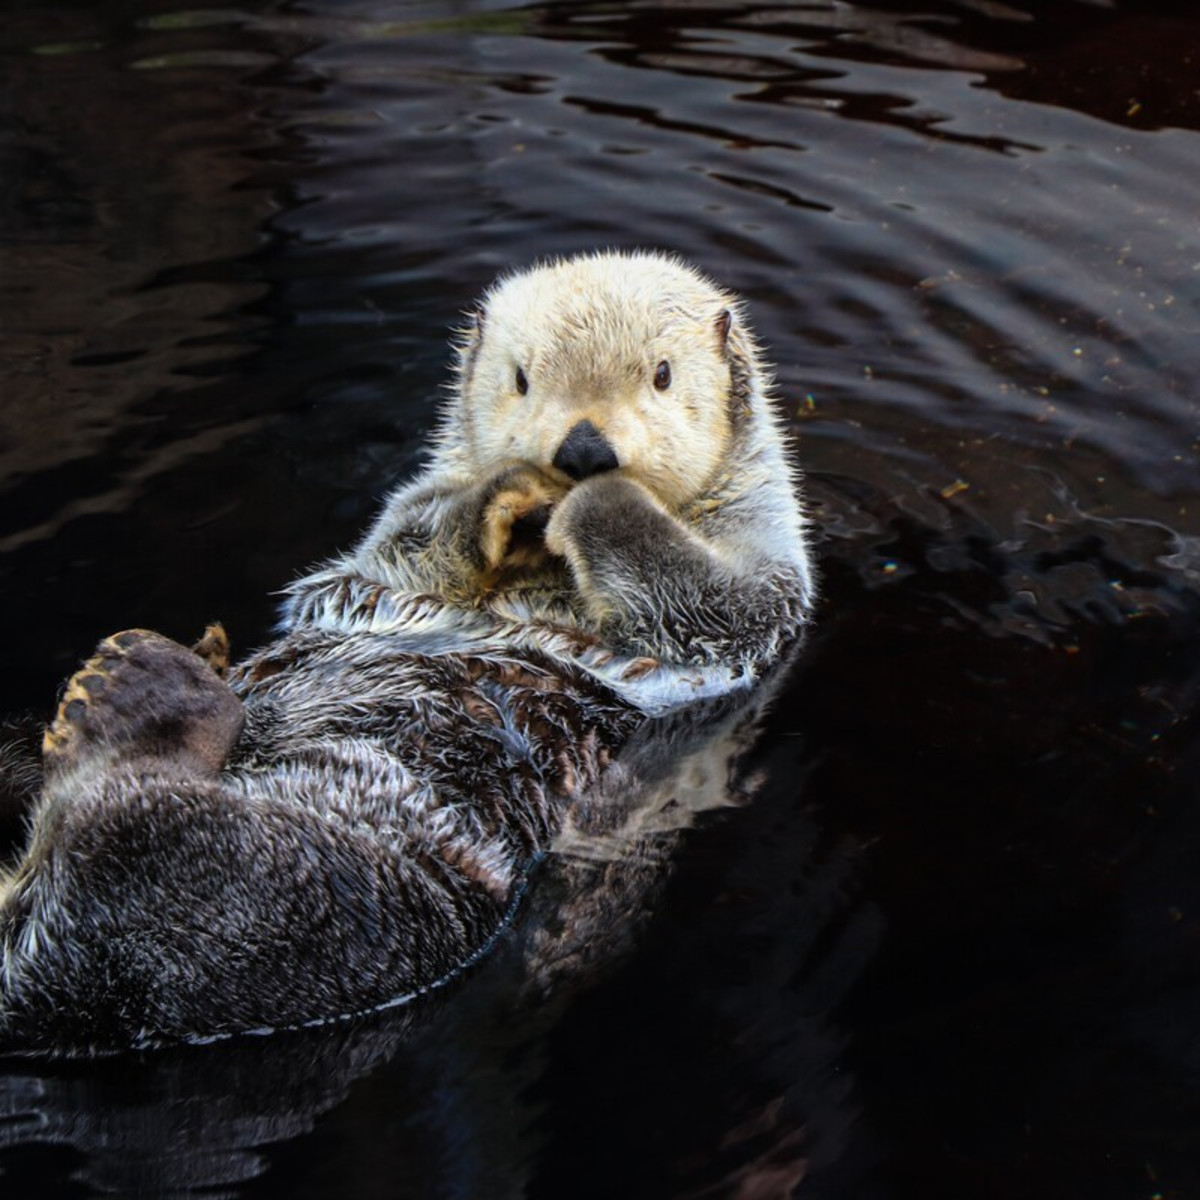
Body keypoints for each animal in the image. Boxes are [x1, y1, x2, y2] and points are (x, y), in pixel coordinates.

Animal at [0, 250, 814, 1052]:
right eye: (522, 378)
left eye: (663, 374)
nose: (585, 449)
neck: (549, 569)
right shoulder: (379, 556)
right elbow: (400, 545)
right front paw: (502, 496)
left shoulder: (766, 578)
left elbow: (721, 602)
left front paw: (597, 501)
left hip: (348, 915)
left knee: (137, 840)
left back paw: (138, 694)